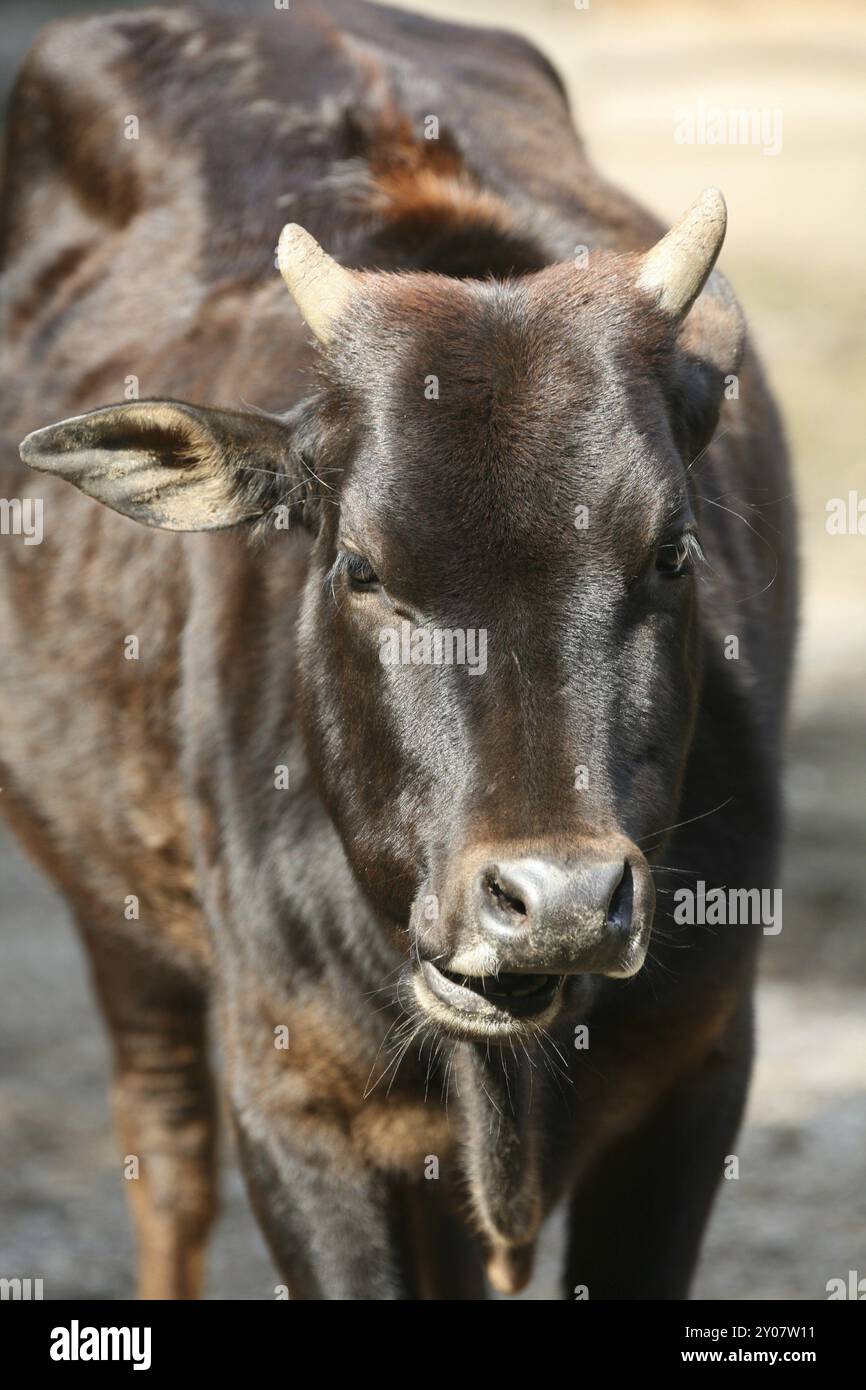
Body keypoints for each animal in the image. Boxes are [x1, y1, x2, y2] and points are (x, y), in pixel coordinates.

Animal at [0, 0, 796, 1300]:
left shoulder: (700, 1066)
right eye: (359, 566)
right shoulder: (296, 1105)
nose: (555, 899)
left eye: (671, 550)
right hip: (111, 915)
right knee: (164, 1158)